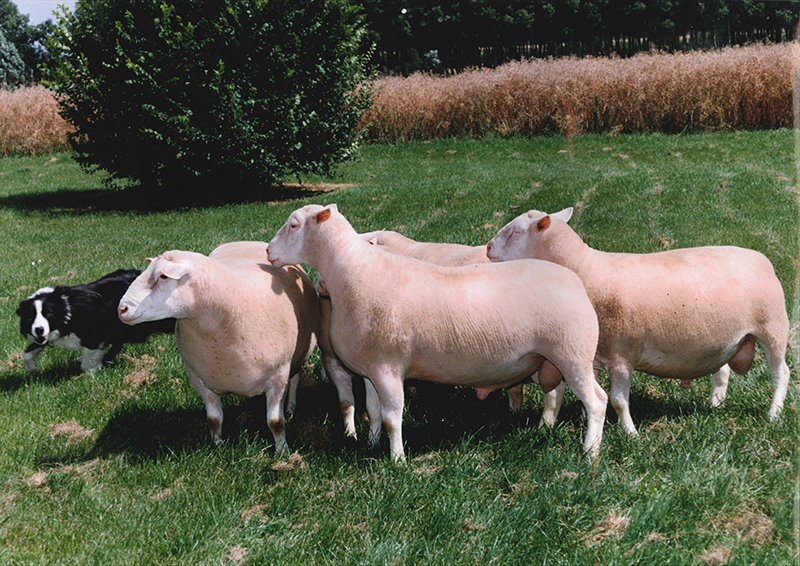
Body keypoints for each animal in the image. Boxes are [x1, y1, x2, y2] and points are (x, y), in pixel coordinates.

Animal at [117, 241, 319, 454]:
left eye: (163, 277)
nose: (121, 309)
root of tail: (246, 242)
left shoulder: (278, 376)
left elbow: (276, 423)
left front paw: (283, 451)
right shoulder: (198, 377)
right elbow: (213, 420)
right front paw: (217, 446)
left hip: (297, 356)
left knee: (294, 380)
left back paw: (290, 407)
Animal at [267, 204, 607, 461]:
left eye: (293, 225)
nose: (269, 251)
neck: (353, 273)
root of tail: (573, 279)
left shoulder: (389, 367)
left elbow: (392, 417)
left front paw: (398, 460)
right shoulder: (371, 369)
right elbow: (374, 412)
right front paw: (371, 445)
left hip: (572, 354)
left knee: (597, 401)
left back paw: (590, 451)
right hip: (554, 358)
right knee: (561, 394)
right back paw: (547, 430)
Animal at [486, 207, 791, 435]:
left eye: (514, 232)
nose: (487, 248)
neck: (583, 268)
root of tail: (762, 258)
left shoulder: (622, 355)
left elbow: (619, 401)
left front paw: (630, 433)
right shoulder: (593, 356)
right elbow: (588, 397)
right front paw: (588, 423)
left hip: (773, 328)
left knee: (780, 373)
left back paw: (774, 414)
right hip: (728, 339)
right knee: (722, 372)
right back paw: (715, 405)